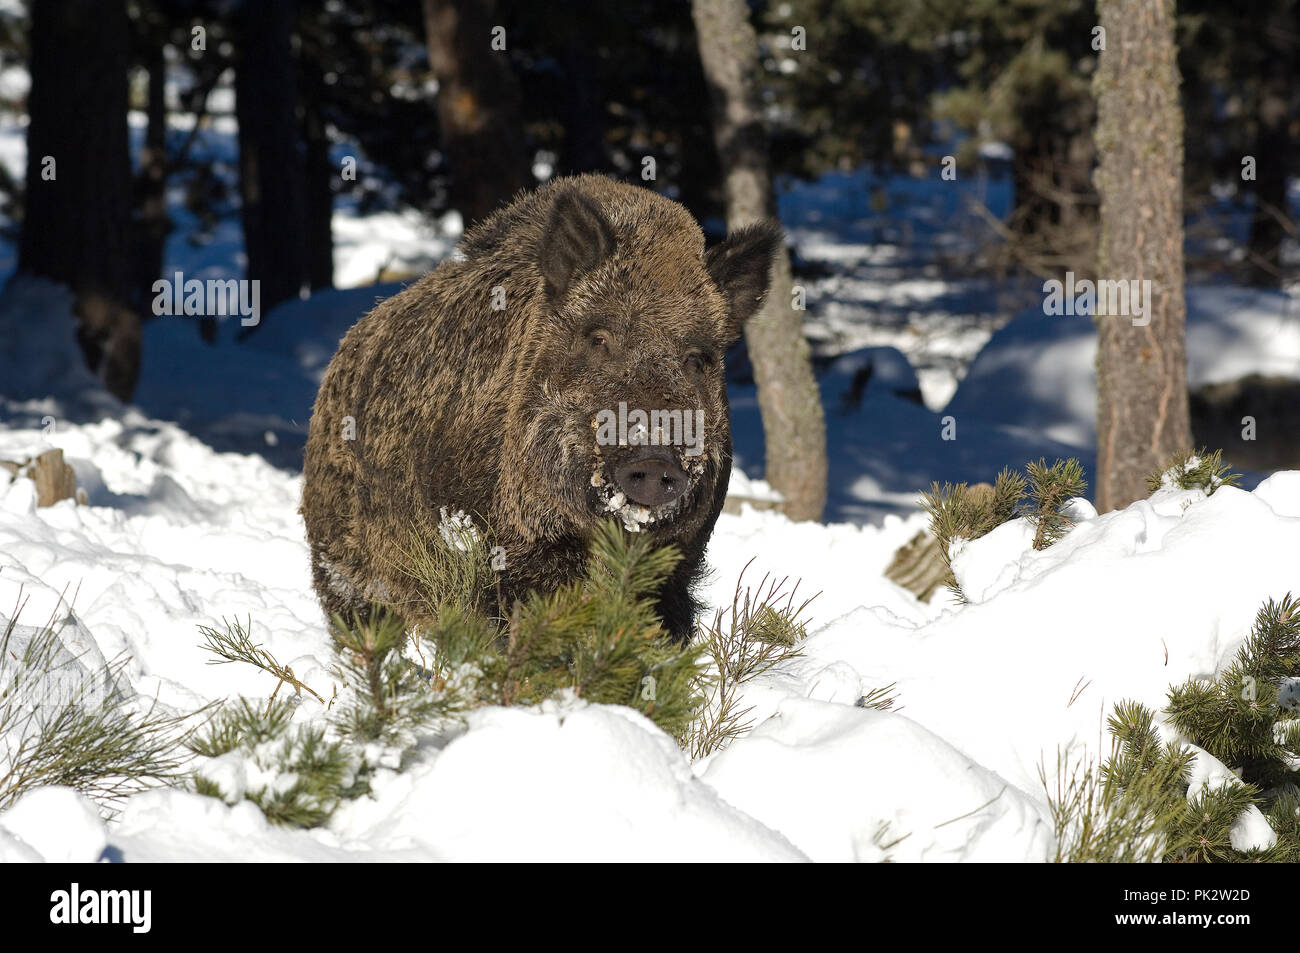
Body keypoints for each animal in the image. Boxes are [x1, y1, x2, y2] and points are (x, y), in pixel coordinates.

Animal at [301, 174, 781, 643]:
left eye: (697, 358)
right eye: (598, 338)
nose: (654, 457)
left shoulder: (678, 564)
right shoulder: (504, 550)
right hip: (338, 557)